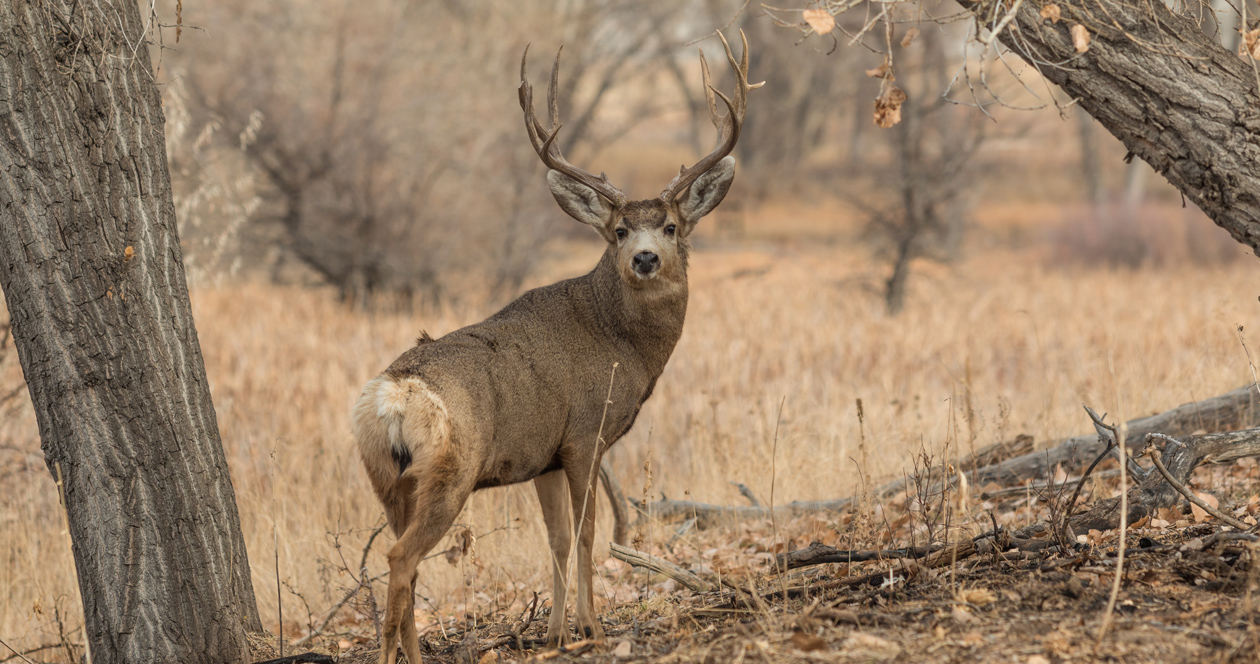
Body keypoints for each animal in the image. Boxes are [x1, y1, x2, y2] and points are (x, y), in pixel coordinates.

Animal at [352, 31, 759, 664]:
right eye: (619, 231)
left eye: (669, 226)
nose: (645, 257)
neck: (620, 343)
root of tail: (391, 400)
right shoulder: (584, 435)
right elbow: (590, 534)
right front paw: (594, 629)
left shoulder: (541, 455)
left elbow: (559, 539)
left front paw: (555, 634)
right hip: (450, 471)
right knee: (401, 558)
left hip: (386, 478)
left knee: (404, 560)